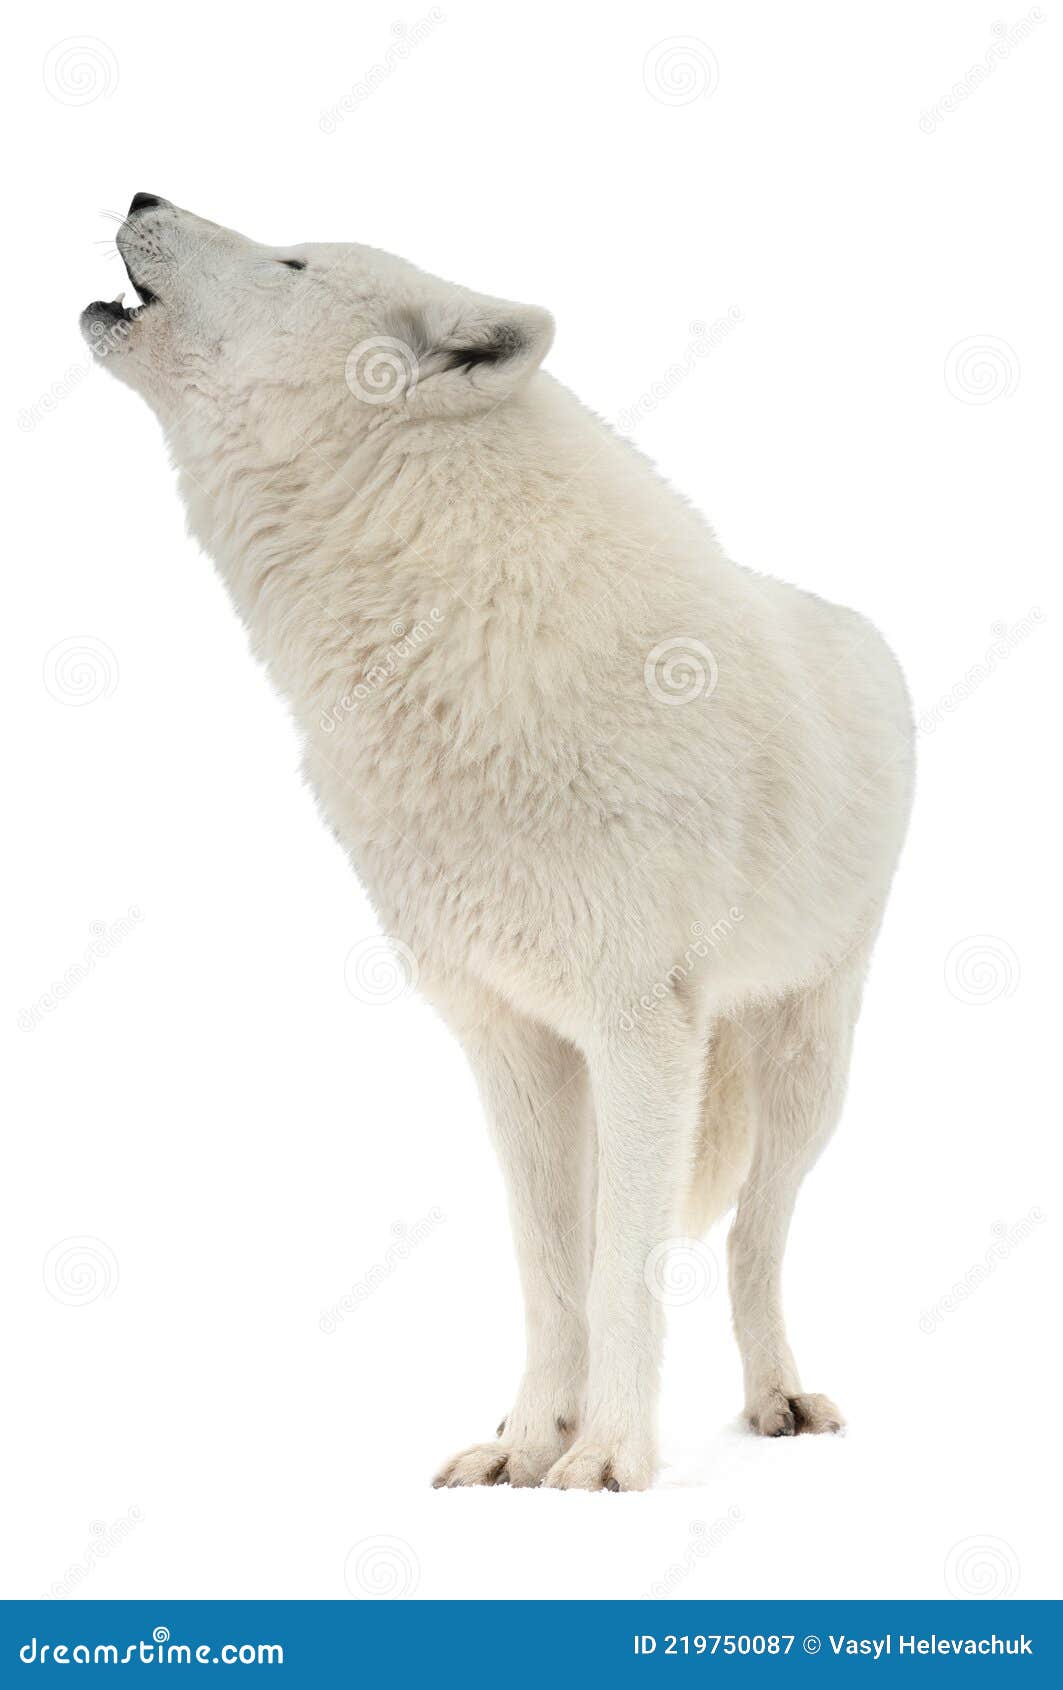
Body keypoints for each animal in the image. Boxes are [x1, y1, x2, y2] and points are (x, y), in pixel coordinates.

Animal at [81, 195, 914, 1490]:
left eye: (291, 262)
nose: (139, 198)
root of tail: (860, 630)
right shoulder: (509, 1041)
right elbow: (549, 1269)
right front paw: (526, 1444)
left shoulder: (637, 1031)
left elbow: (623, 1273)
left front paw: (611, 1459)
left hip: (803, 1066)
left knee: (753, 1241)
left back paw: (776, 1399)